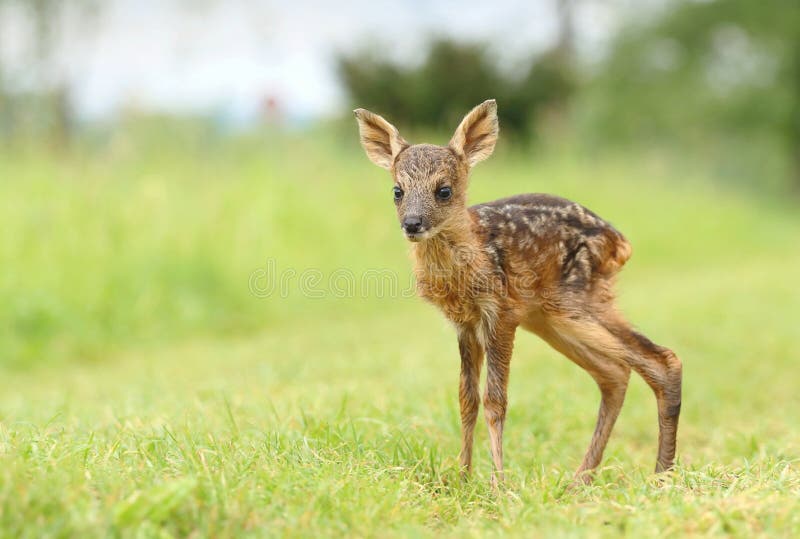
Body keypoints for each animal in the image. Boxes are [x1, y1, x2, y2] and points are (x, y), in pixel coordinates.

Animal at [353, 99, 682, 486]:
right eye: (397, 191)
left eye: (444, 190)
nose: (413, 224)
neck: (473, 251)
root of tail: (621, 243)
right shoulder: (464, 323)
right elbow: (467, 399)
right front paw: (462, 479)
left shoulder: (500, 312)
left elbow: (496, 401)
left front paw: (499, 484)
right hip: (549, 319)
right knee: (615, 373)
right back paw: (582, 481)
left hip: (573, 301)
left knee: (659, 359)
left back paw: (660, 475)